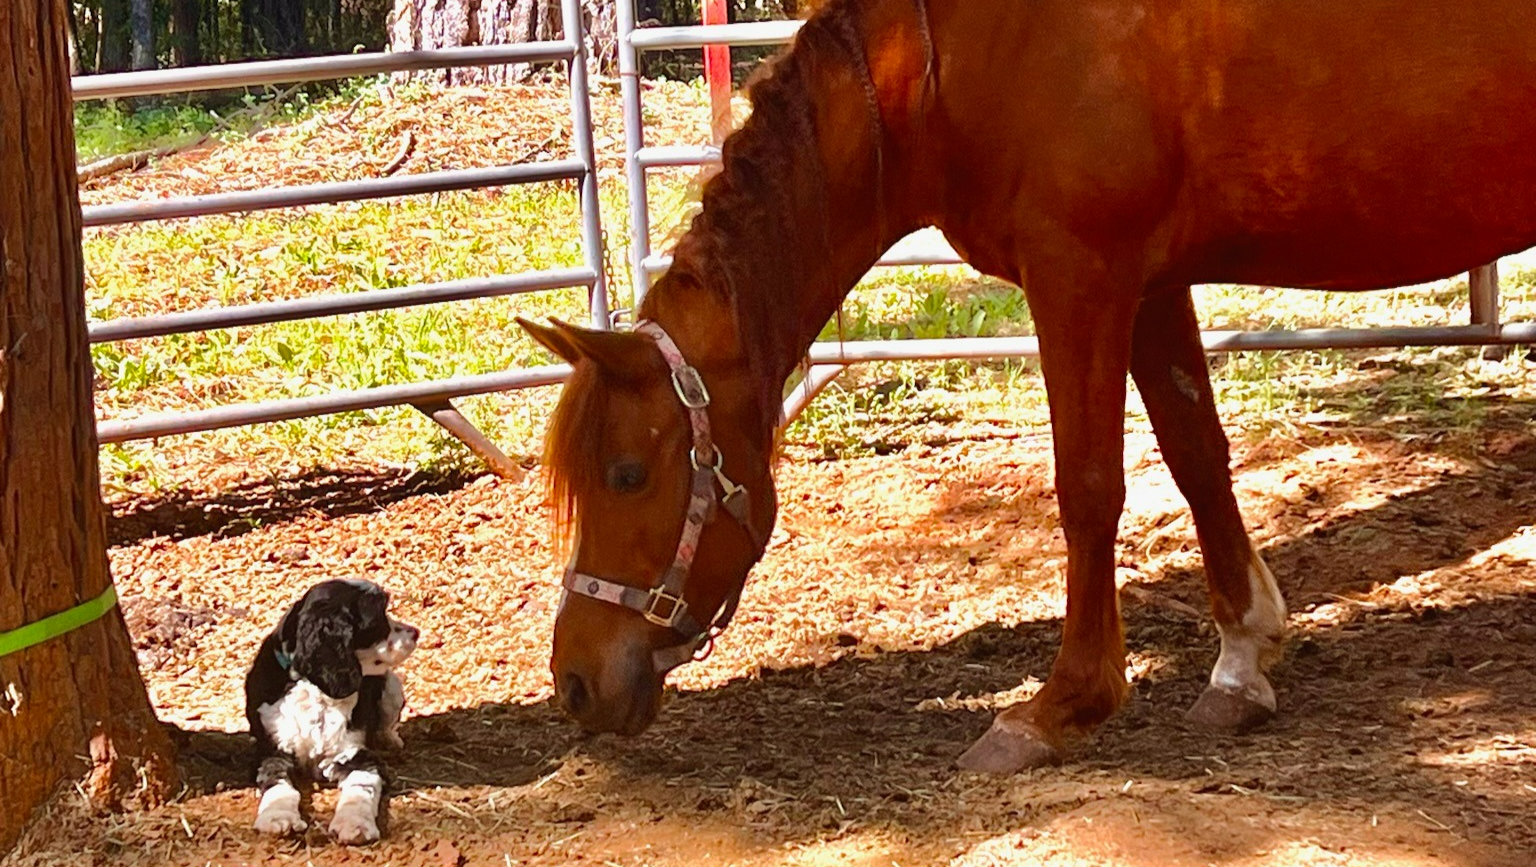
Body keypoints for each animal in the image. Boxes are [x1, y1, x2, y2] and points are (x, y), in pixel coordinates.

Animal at [517, 0, 1536, 773]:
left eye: (626, 474)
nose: (575, 681)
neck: (951, 59)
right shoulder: (1149, 285)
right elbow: (1196, 455)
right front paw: (1242, 661)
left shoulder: (1078, 277)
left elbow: (1087, 489)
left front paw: (1057, 706)